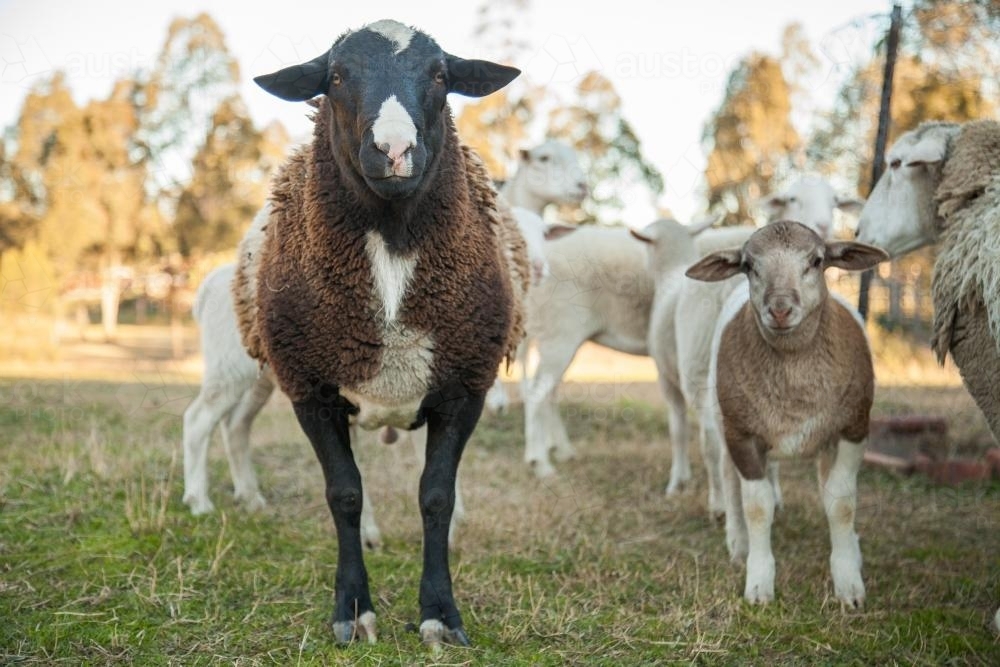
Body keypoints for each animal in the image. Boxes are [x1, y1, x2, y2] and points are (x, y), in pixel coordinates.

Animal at [239, 20, 526, 647]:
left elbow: (436, 497)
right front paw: (352, 611)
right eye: (336, 76)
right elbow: (344, 493)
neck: (391, 247)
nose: (394, 150)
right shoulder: (311, 390)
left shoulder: (464, 388)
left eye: (441, 75)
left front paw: (441, 615)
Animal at [685, 221, 887, 606]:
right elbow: (757, 505)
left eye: (817, 260)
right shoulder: (742, 435)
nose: (779, 309)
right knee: (729, 481)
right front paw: (759, 582)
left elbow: (840, 501)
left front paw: (848, 582)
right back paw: (738, 542)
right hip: (725, 423)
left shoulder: (854, 428)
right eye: (749, 265)